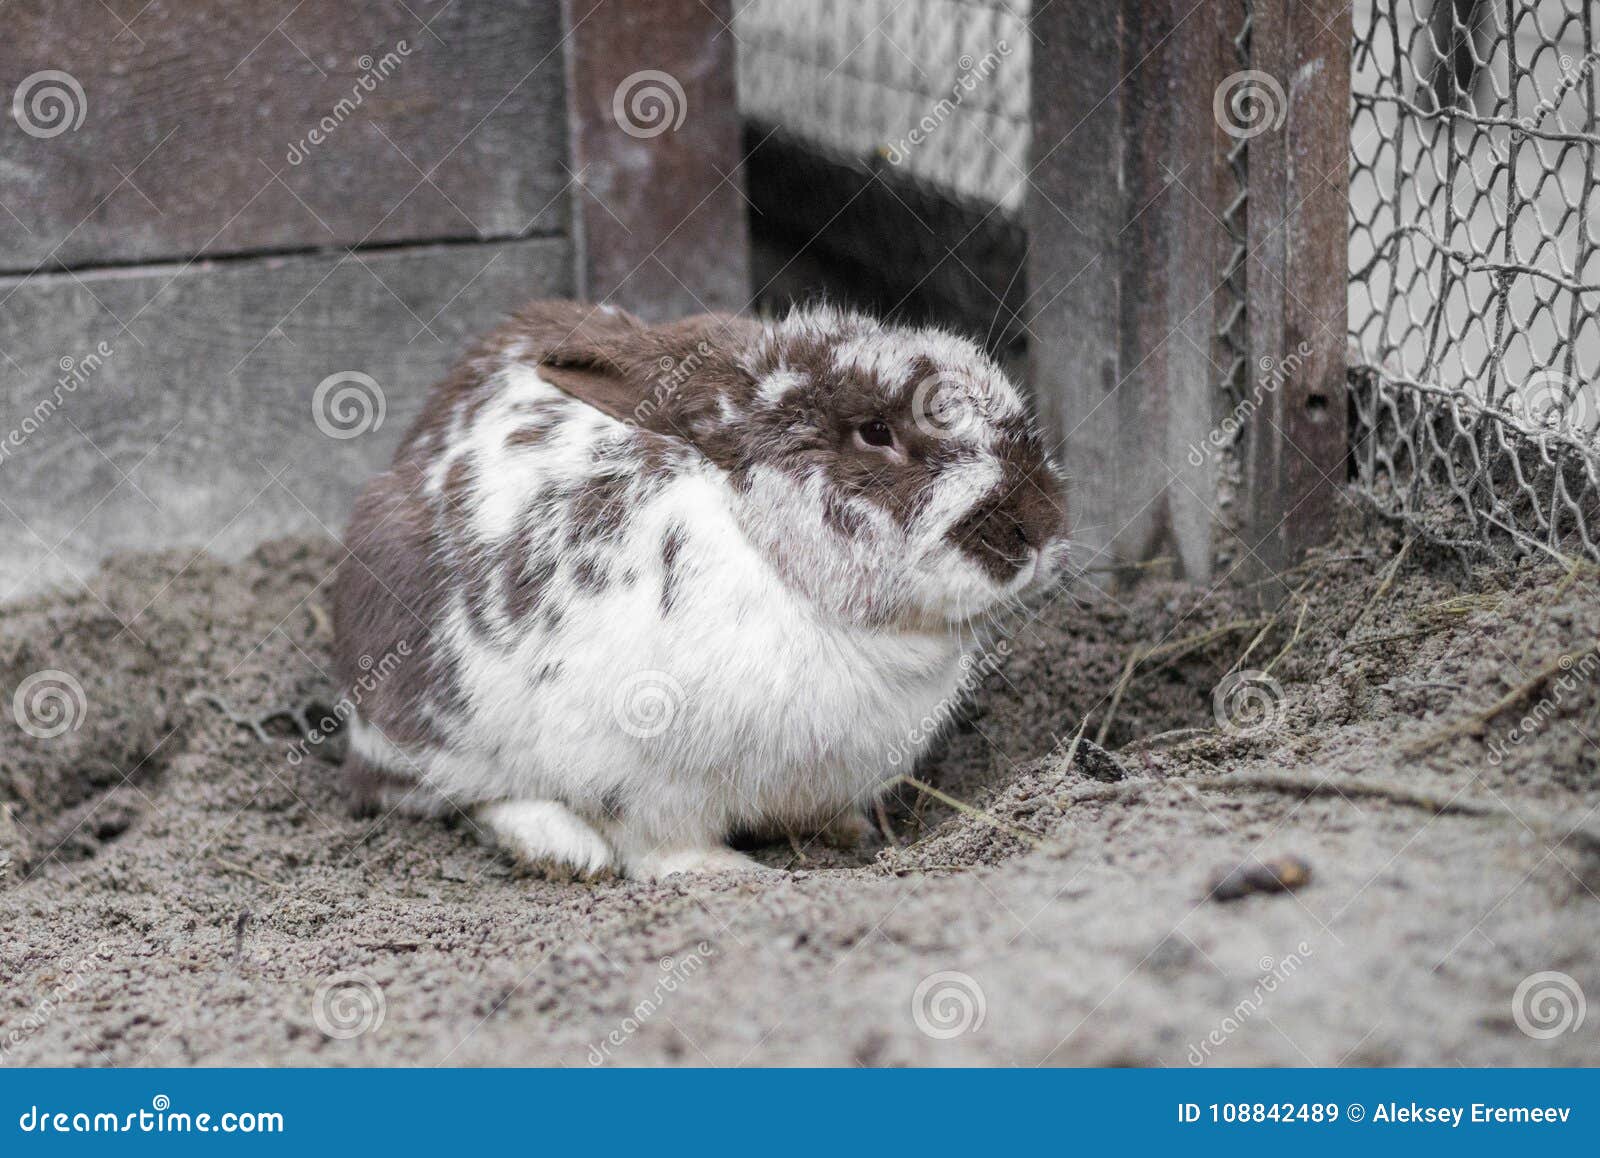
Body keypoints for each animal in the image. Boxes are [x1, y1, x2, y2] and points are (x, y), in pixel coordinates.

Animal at [331, 300, 1070, 880]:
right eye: (876, 433)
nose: (1038, 525)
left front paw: (851, 833)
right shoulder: (637, 775)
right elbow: (660, 844)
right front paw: (723, 872)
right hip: (429, 717)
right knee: (449, 794)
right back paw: (565, 852)